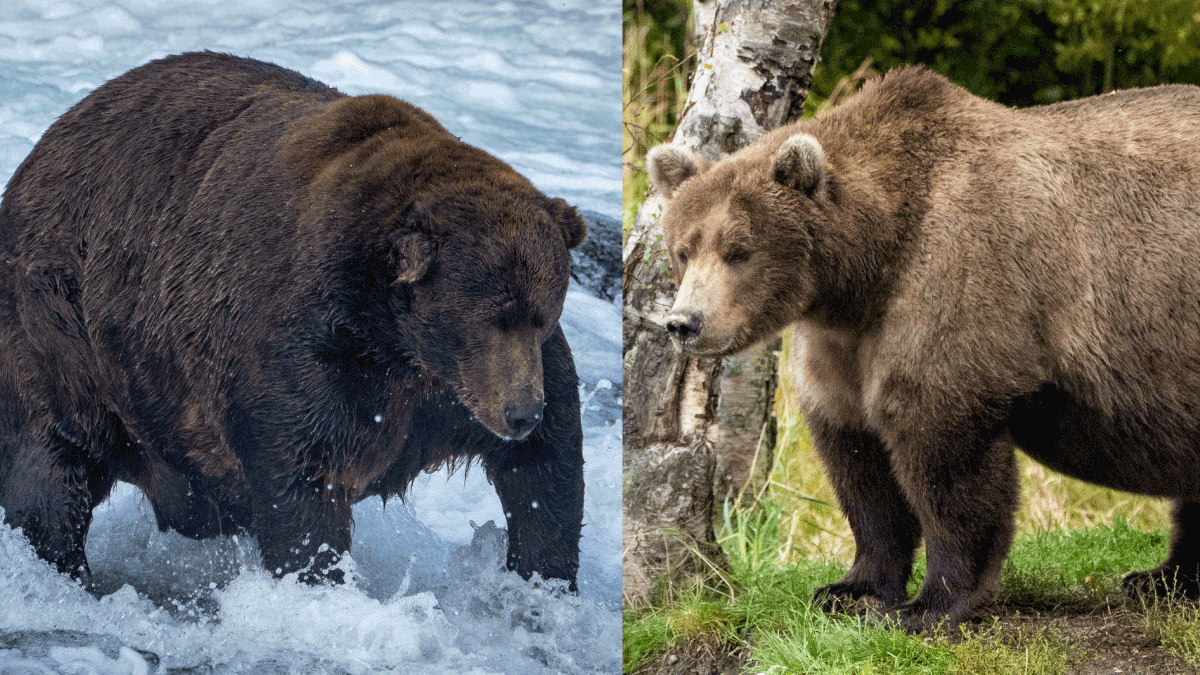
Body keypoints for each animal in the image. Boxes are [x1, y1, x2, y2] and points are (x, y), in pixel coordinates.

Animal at [0, 51, 587, 591]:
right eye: (492, 317)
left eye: (541, 314)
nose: (520, 412)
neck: (397, 341)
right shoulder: (312, 353)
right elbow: (304, 480)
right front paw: (320, 580)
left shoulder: (455, 392)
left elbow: (547, 466)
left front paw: (543, 581)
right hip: (65, 330)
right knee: (53, 464)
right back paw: (64, 571)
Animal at [647, 65, 1200, 631]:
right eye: (684, 250)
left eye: (739, 250)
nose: (684, 323)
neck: (867, 267)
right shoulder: (840, 342)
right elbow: (859, 462)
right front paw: (849, 589)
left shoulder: (958, 279)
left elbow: (944, 459)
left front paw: (927, 604)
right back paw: (1163, 579)